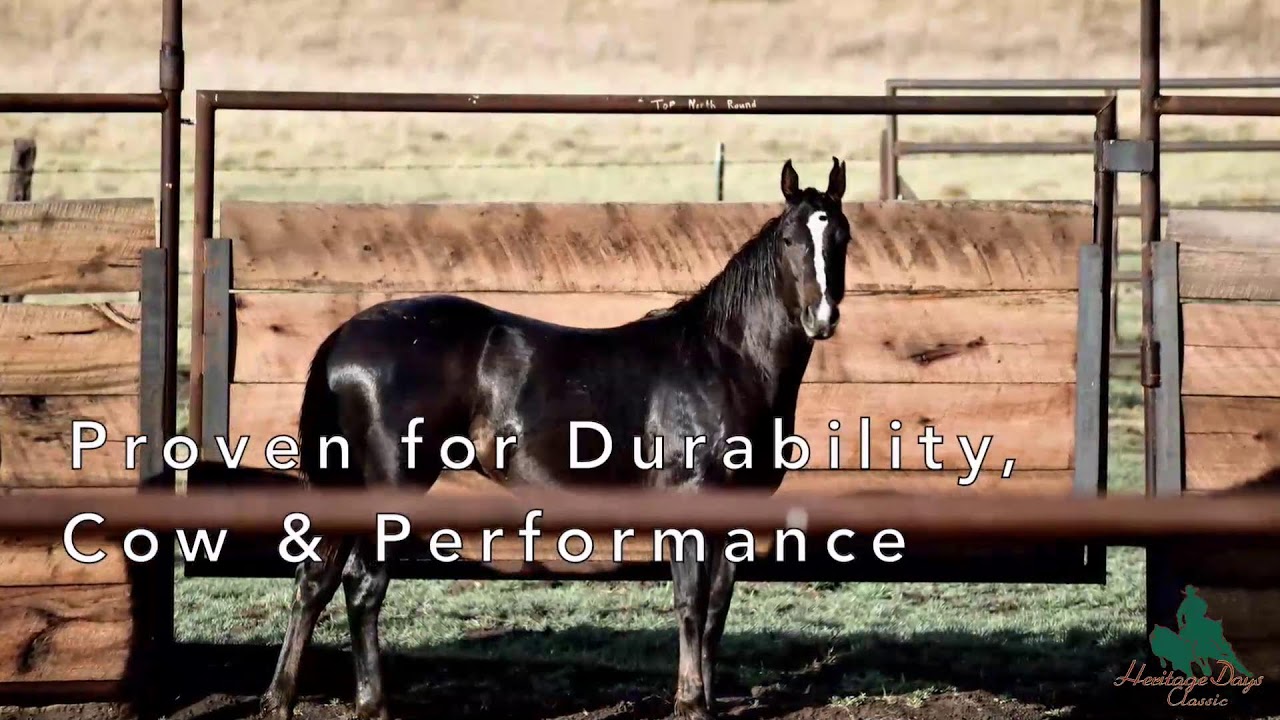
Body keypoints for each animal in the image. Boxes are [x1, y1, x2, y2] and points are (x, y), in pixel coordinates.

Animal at [258, 157, 853, 720]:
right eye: (790, 239)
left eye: (841, 236)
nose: (821, 317)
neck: (724, 361)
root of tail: (341, 339)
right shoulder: (687, 507)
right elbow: (689, 602)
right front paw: (689, 702)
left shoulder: (733, 517)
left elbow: (716, 609)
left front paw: (704, 697)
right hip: (391, 485)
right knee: (363, 585)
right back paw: (372, 704)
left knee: (315, 579)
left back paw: (280, 700)